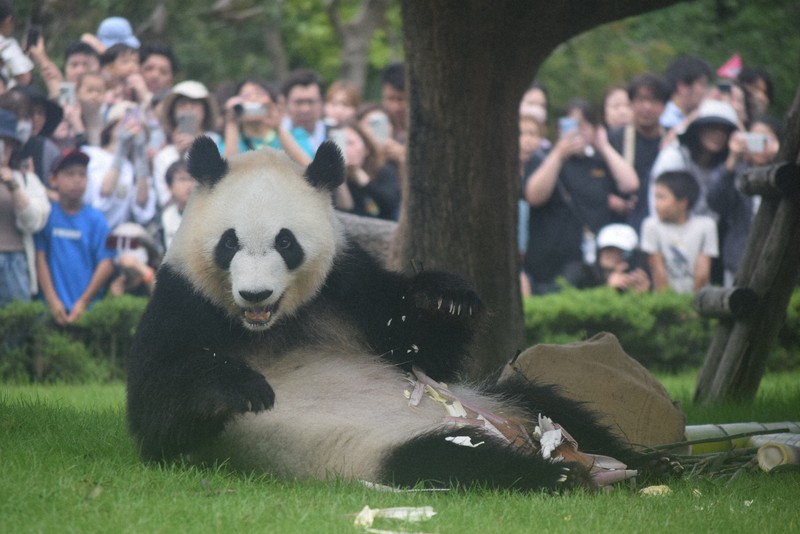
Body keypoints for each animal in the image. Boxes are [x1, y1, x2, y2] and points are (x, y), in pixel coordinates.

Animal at [127, 137, 679, 492]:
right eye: (229, 242)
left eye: (286, 242)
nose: (255, 294)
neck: (271, 325)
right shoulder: (181, 301)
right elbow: (159, 415)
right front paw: (242, 387)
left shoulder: (346, 288)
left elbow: (422, 348)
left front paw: (447, 298)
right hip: (379, 447)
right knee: (454, 461)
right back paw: (553, 473)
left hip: (495, 397)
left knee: (555, 402)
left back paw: (654, 464)